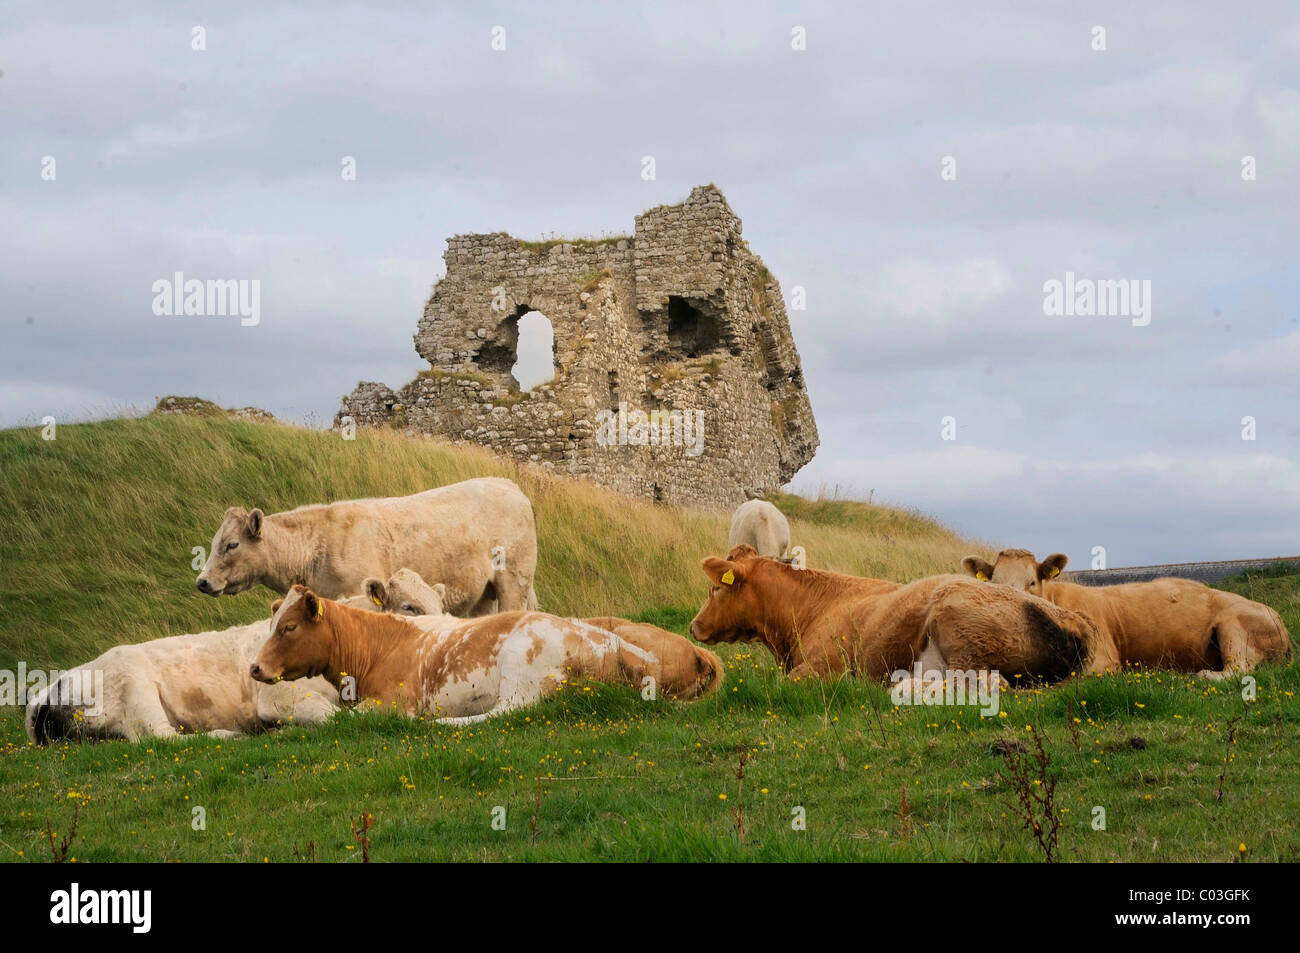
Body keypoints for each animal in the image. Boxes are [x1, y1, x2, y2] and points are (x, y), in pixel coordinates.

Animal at [24, 590, 440, 744]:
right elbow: (330, 717)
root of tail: (47, 691)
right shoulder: (279, 698)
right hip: (136, 689)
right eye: (410, 607)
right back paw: (230, 734)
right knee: (163, 738)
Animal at [195, 476, 538, 616]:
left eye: (231, 544)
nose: (202, 581)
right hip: (484, 592)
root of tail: (507, 484)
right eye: (214, 542)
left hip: (514, 580)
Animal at [250, 585, 721, 725]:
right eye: (272, 625)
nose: (254, 668)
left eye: (289, 628)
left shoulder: (391, 704)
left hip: (520, 675)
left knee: (504, 713)